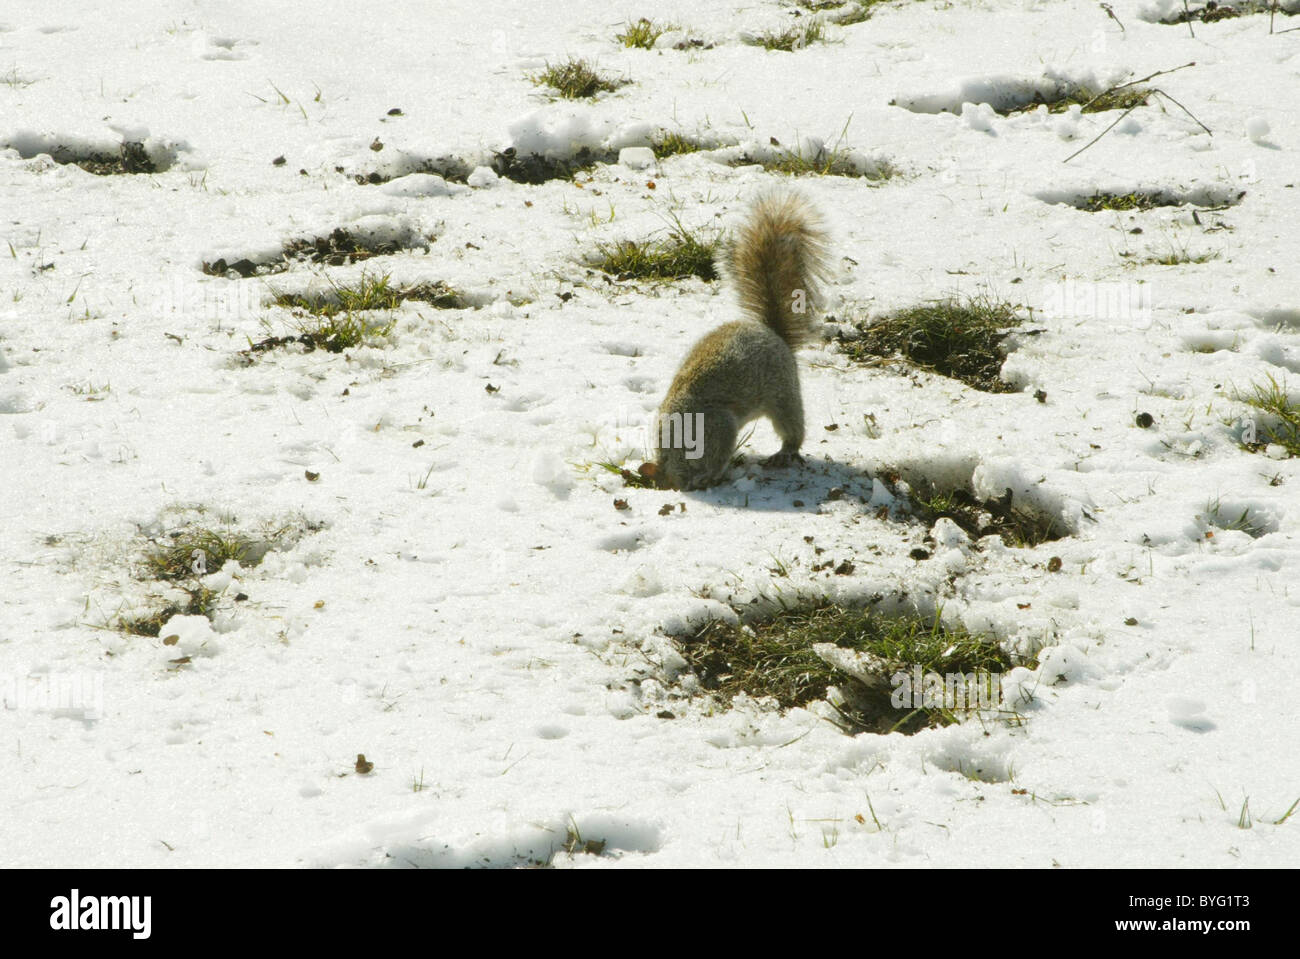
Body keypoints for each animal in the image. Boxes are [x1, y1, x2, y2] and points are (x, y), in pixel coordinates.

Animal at [649, 190, 831, 490]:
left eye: (692, 456)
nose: (682, 485)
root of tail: (773, 333)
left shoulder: (719, 428)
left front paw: (710, 475)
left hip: (783, 394)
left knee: (792, 427)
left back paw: (785, 452)